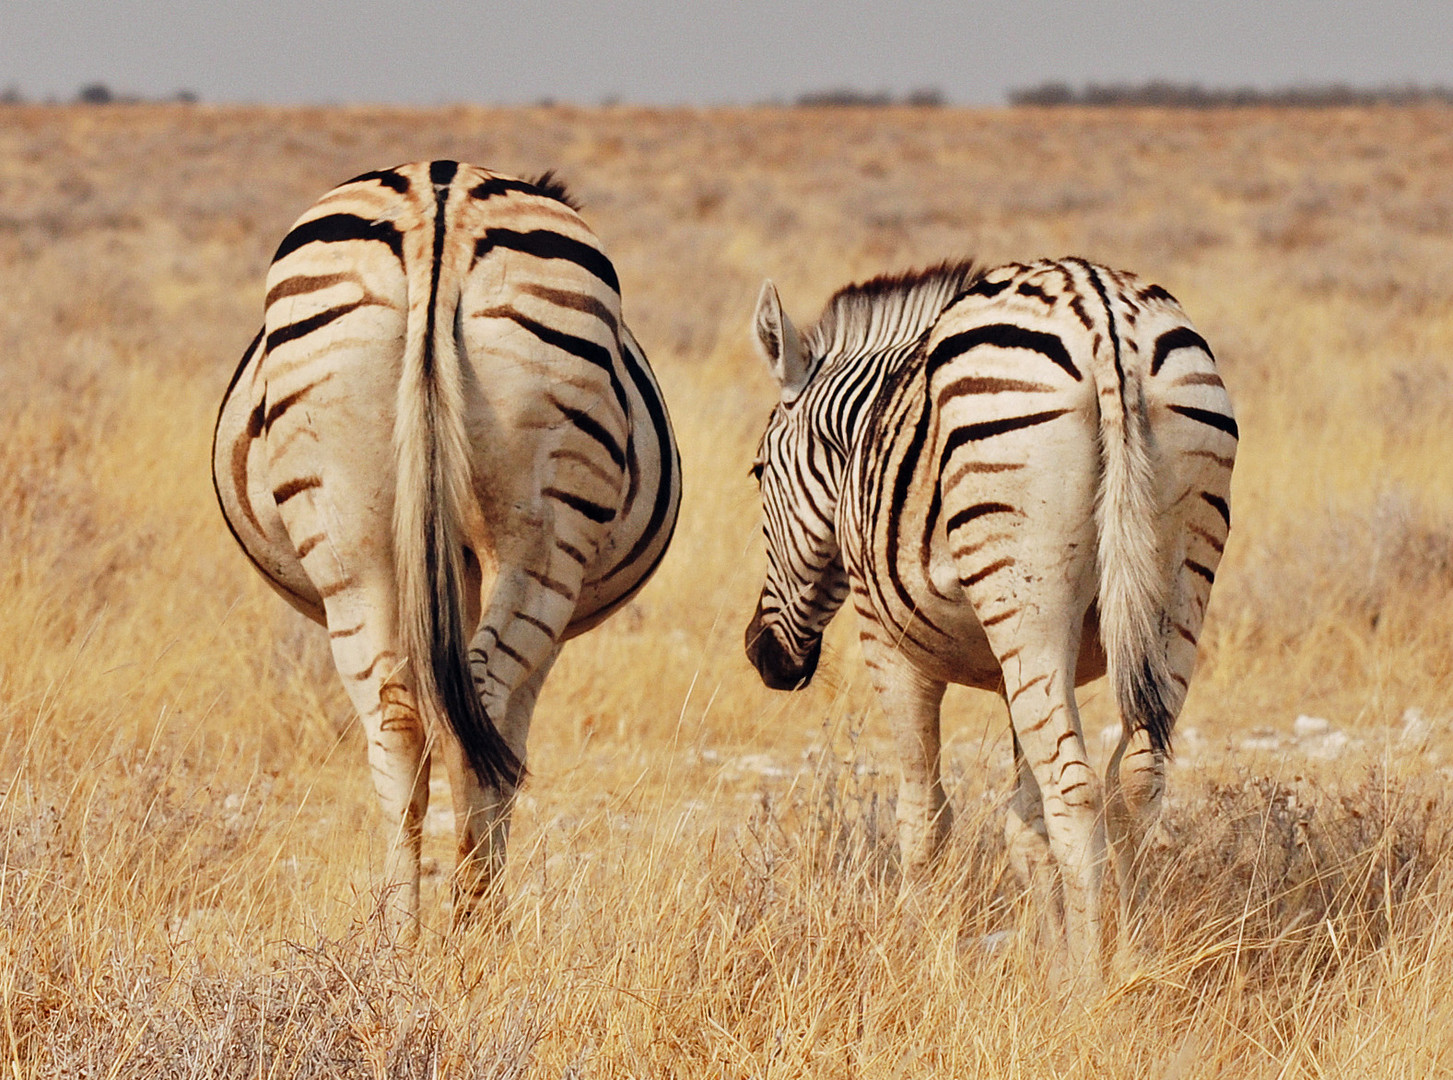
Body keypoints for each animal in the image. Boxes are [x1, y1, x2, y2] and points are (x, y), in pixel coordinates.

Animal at [213, 160, 681, 934]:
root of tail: (439, 205)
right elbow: (507, 742)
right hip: (544, 544)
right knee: (481, 705)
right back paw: (471, 925)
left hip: (349, 533)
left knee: (400, 714)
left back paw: (403, 933)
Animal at [745, 257, 1235, 984]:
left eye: (755, 473)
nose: (762, 657)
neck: (863, 430)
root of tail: (1102, 315)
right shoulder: (1015, 672)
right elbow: (1023, 826)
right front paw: (1049, 963)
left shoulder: (886, 643)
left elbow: (924, 818)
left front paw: (916, 961)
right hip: (1174, 590)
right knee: (1137, 776)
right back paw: (1132, 962)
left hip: (1026, 593)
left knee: (1075, 790)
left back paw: (1092, 987)